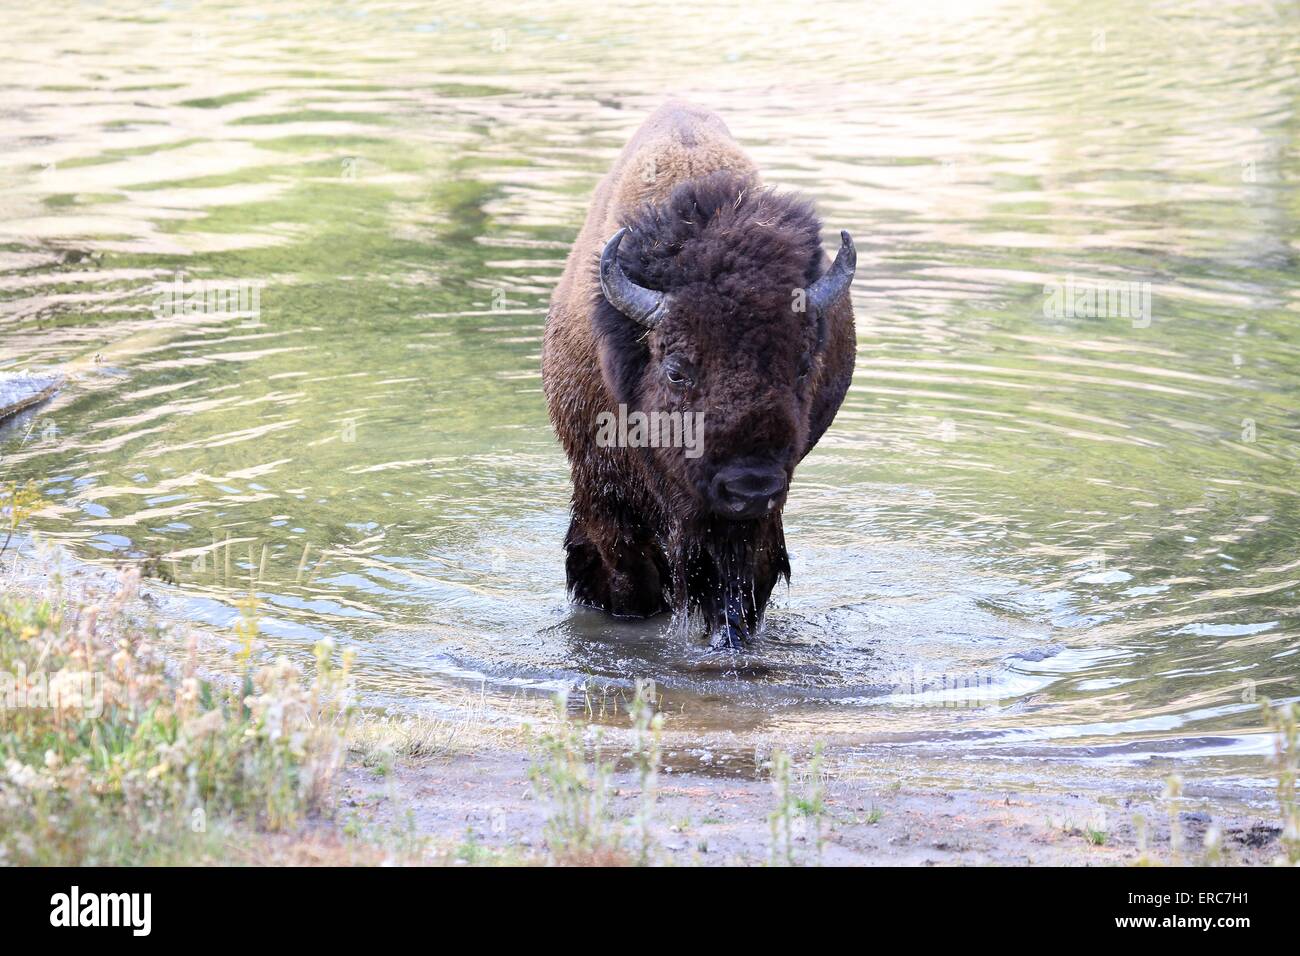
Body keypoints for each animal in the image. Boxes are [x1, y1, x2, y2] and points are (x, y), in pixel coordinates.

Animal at [542, 100, 856, 648]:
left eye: (802, 368)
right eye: (676, 372)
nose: (749, 485)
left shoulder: (754, 517)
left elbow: (739, 586)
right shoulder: (608, 498)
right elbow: (630, 582)